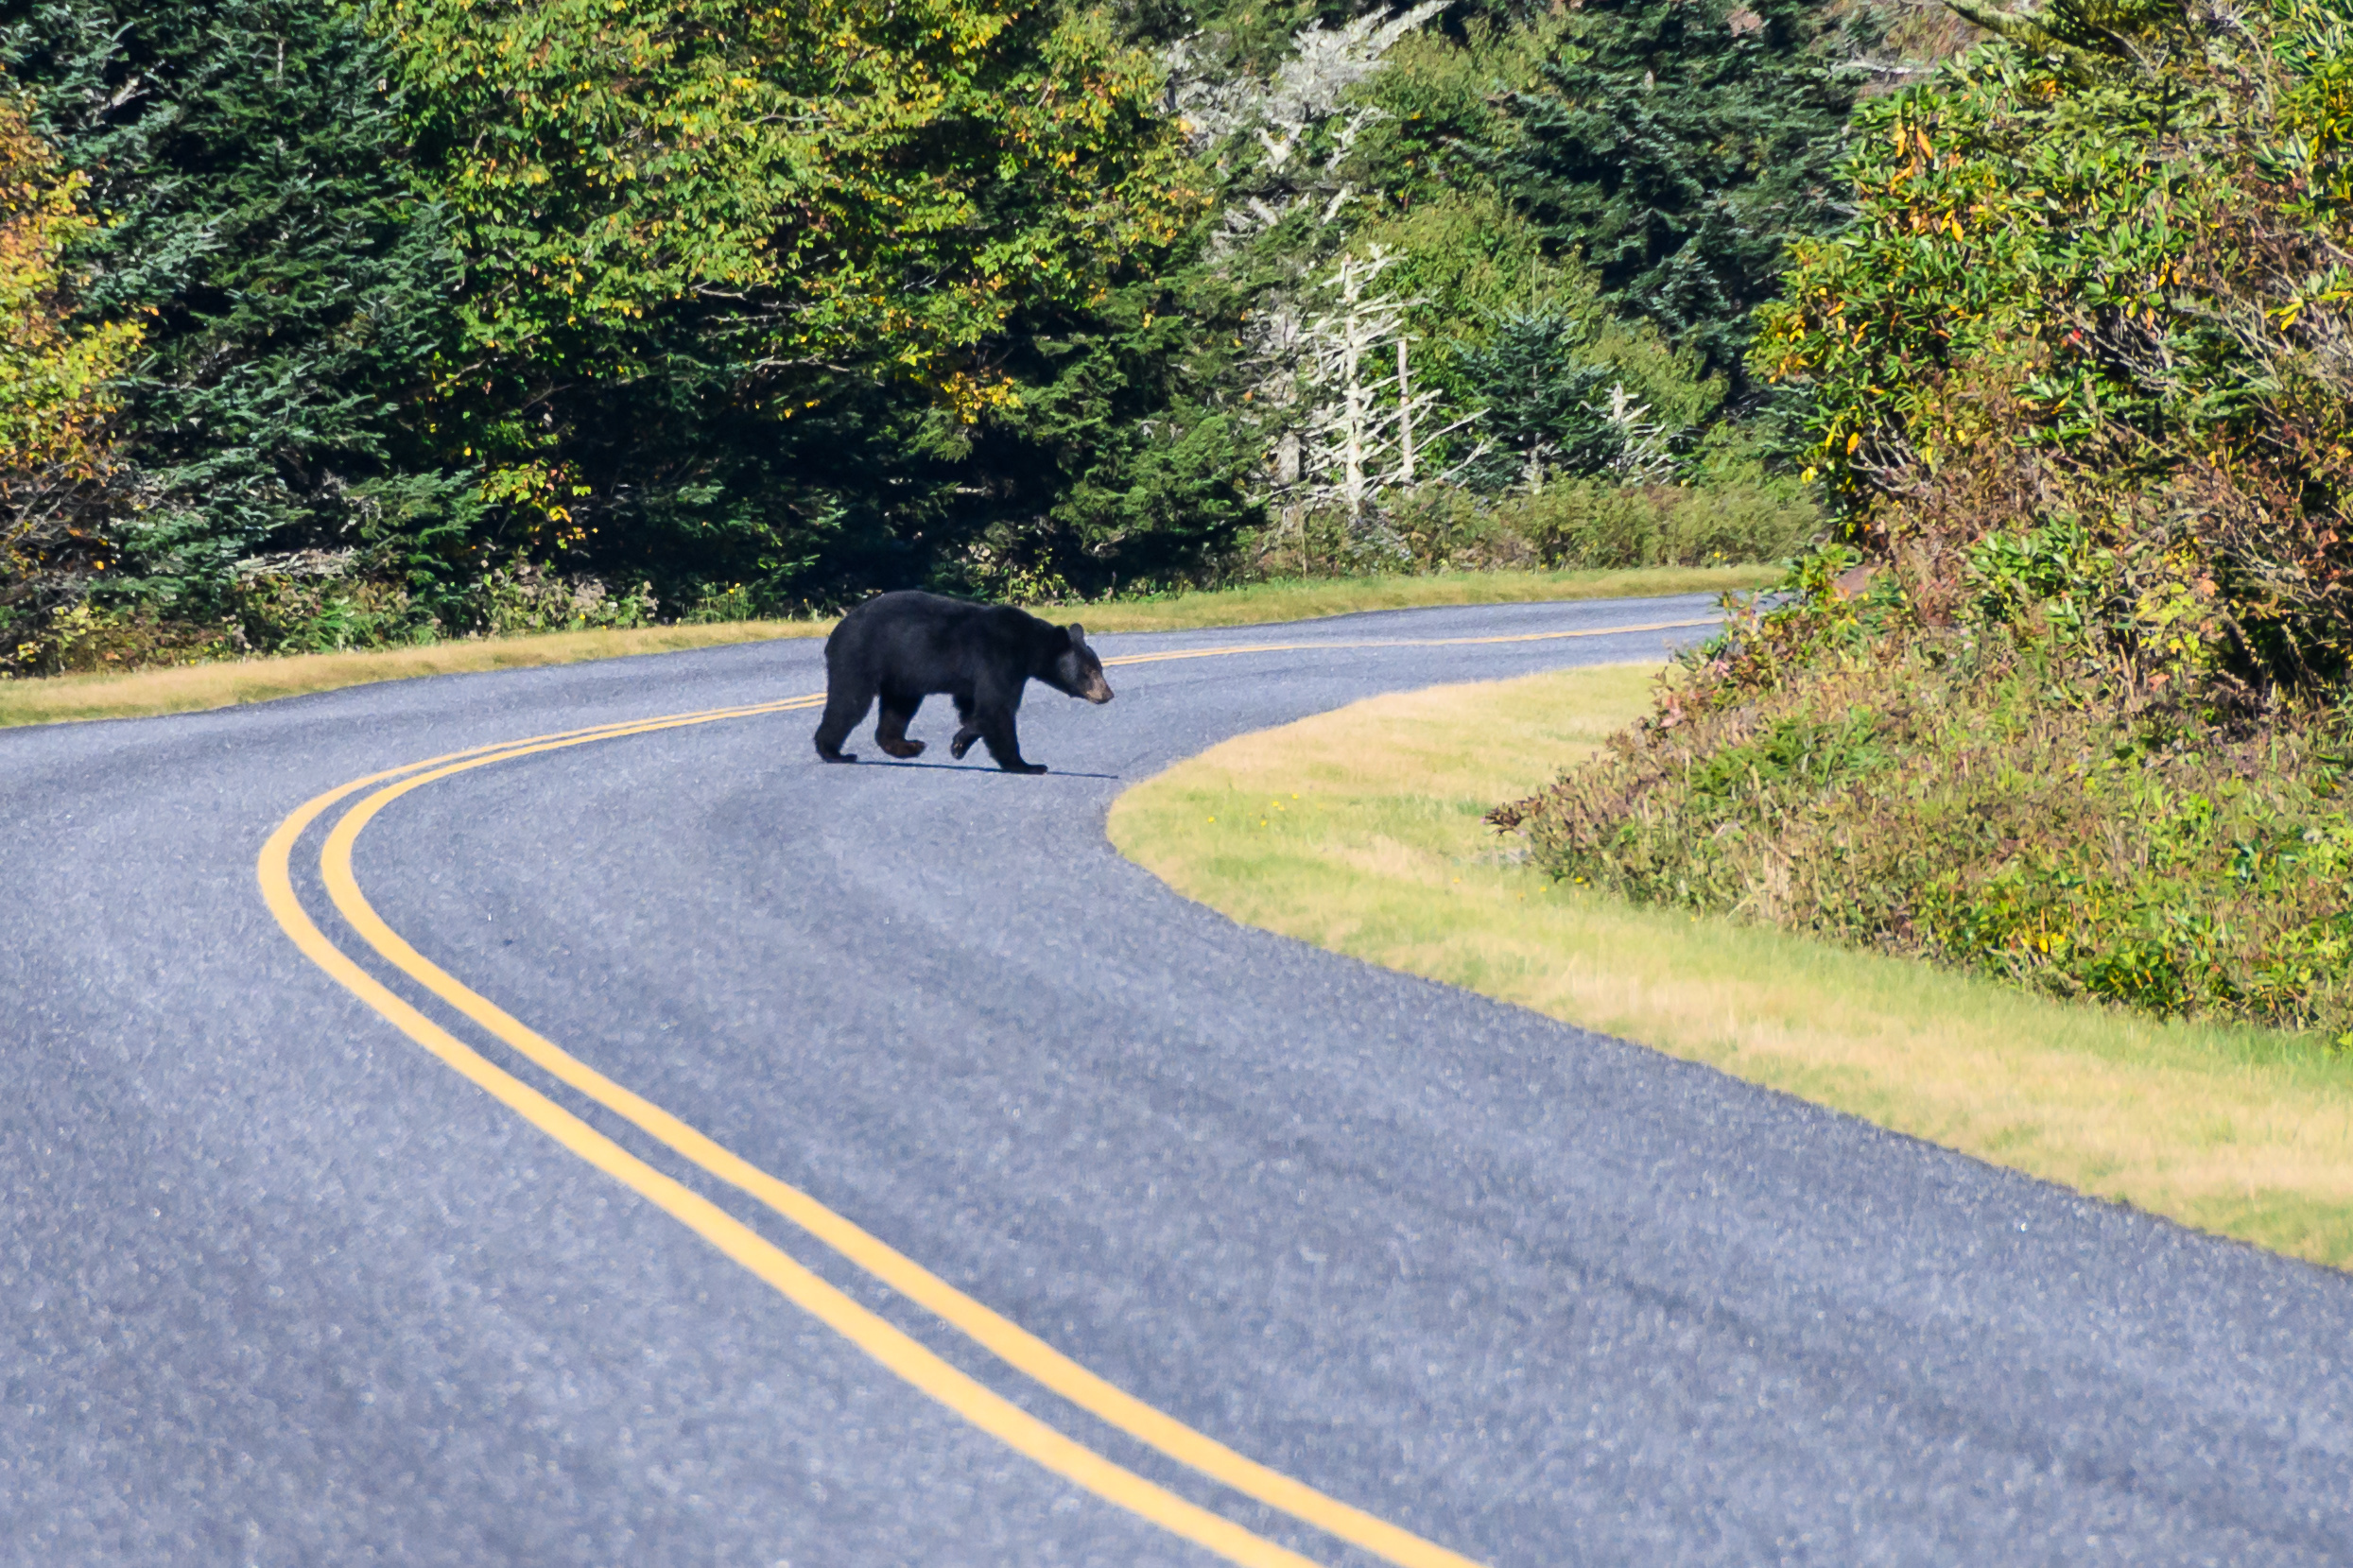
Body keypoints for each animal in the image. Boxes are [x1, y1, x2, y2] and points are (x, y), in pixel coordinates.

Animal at [812, 590, 1114, 774]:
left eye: (1099, 667)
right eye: (1090, 672)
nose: (1108, 694)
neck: (1027, 645)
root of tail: (835, 631)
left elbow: (973, 707)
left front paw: (960, 743)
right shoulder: (998, 659)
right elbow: (996, 708)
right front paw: (1028, 765)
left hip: (901, 676)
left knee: (898, 708)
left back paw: (909, 746)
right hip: (859, 656)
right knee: (849, 702)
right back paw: (834, 752)